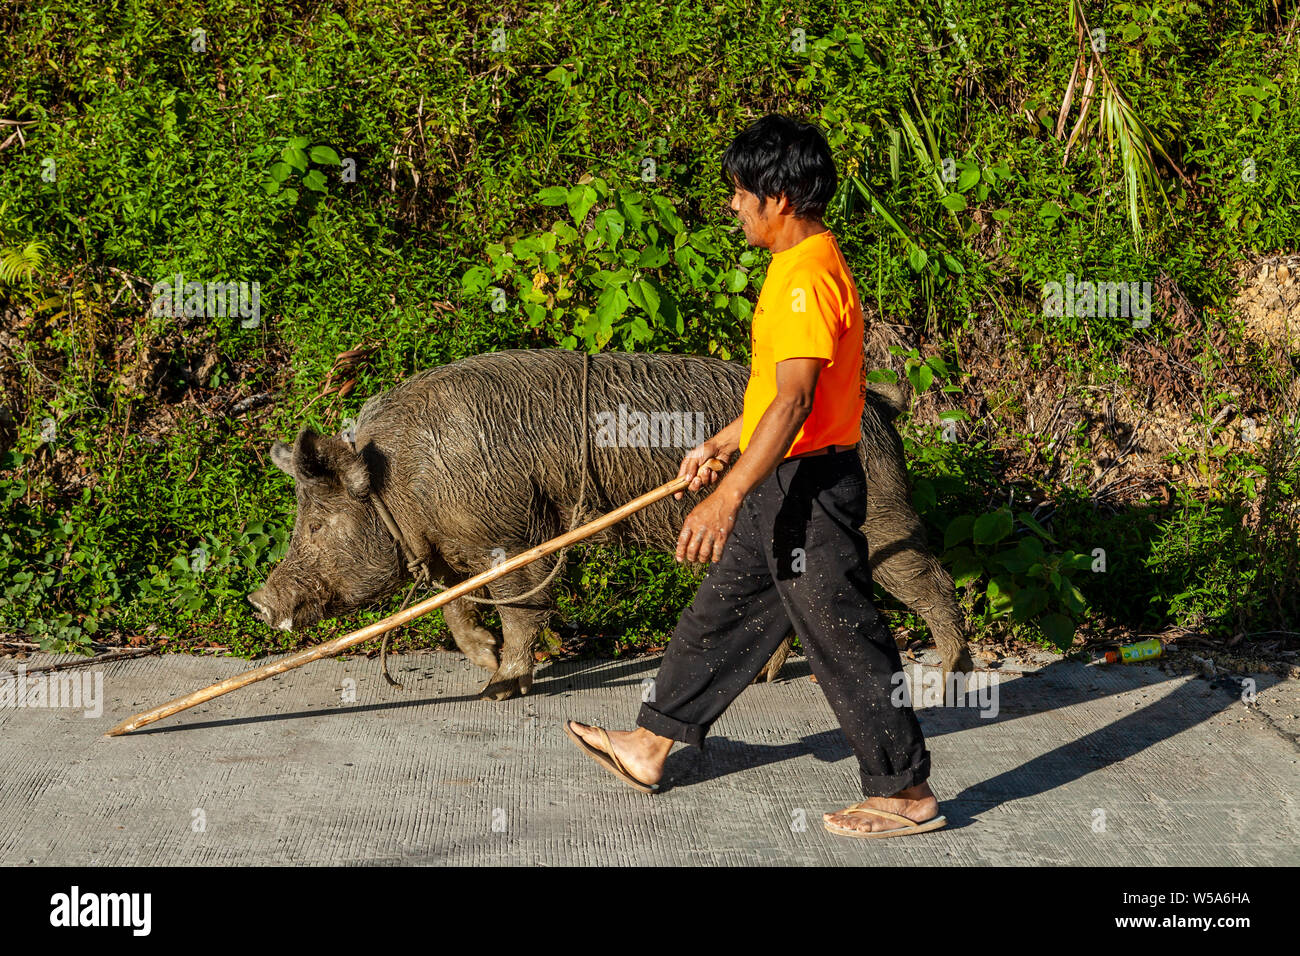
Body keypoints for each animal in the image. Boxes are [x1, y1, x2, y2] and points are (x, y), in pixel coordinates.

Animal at [248, 349, 973, 700]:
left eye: (319, 524)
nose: (258, 600)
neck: (404, 482)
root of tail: (880, 404)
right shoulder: (453, 553)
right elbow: (455, 610)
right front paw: (481, 660)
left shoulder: (513, 536)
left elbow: (522, 609)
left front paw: (499, 689)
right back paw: (768, 681)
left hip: (884, 516)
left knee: (932, 578)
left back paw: (952, 680)